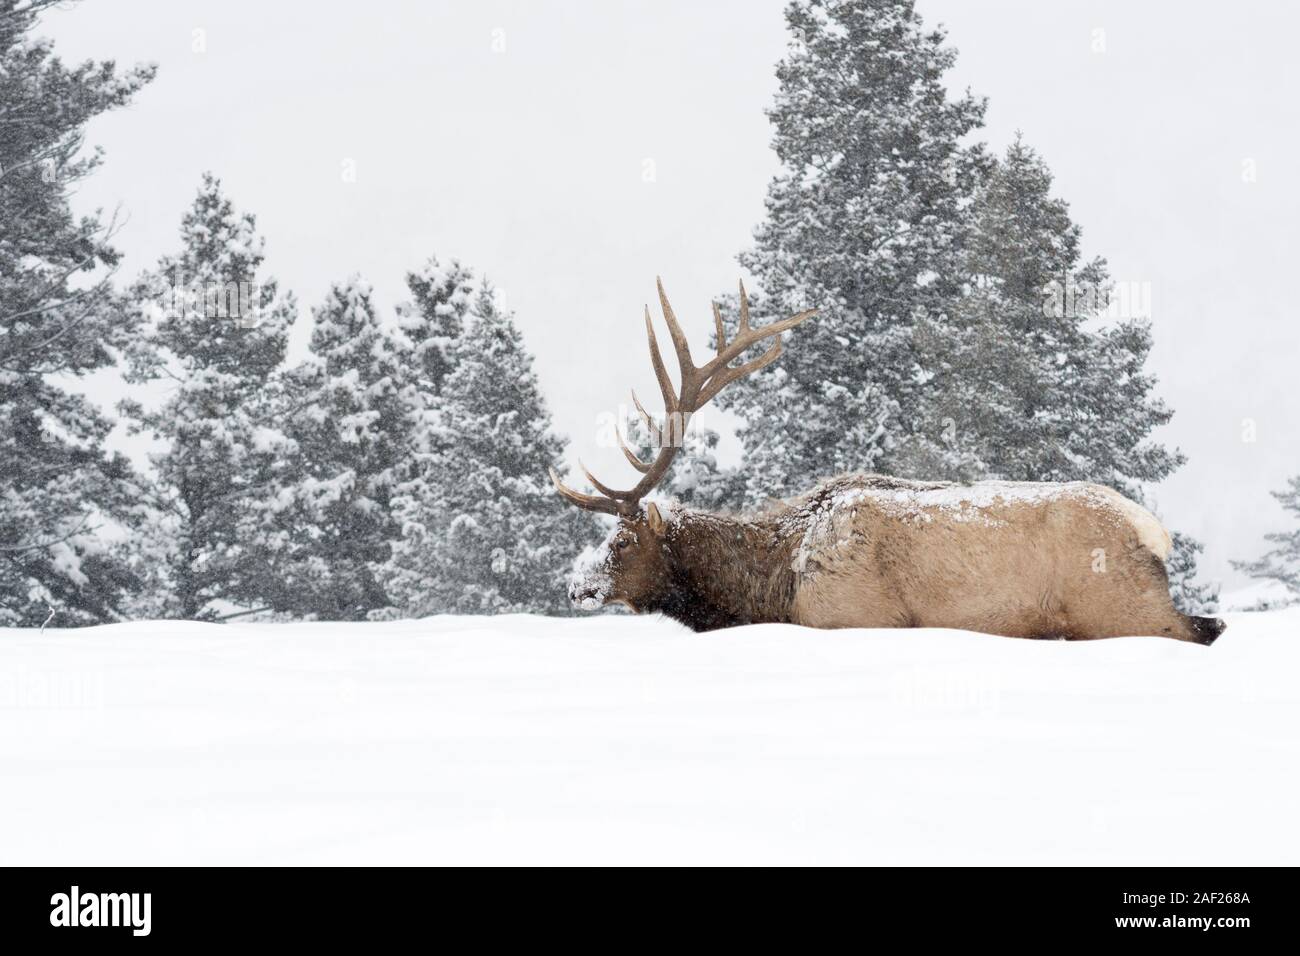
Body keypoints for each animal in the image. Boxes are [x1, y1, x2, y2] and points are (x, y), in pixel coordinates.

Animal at [549, 278, 1226, 644]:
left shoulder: (853, 617)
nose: (575, 584)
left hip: (1118, 605)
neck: (774, 586)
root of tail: (1152, 531)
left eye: (621, 541)